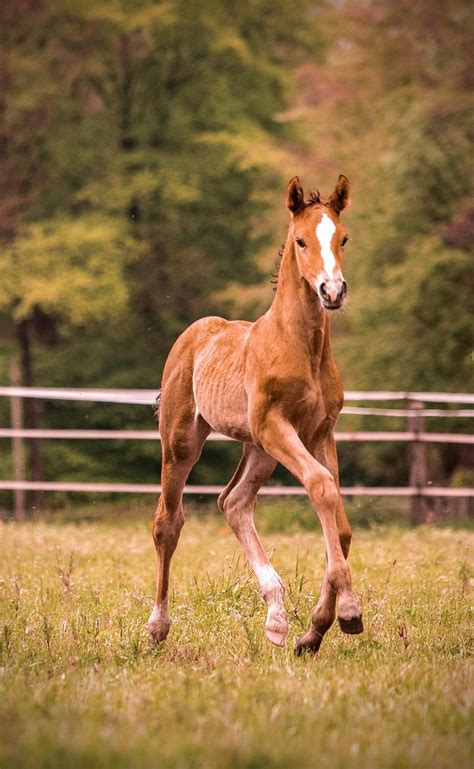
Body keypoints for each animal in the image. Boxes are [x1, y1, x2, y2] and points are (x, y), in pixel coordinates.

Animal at [148, 174, 363, 654]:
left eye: (343, 238)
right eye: (301, 240)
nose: (333, 291)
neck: (301, 347)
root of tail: (195, 333)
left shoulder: (321, 433)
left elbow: (339, 525)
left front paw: (313, 631)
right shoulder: (275, 426)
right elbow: (322, 487)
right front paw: (347, 612)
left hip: (259, 451)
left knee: (234, 502)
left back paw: (277, 618)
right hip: (184, 441)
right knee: (168, 523)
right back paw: (157, 627)